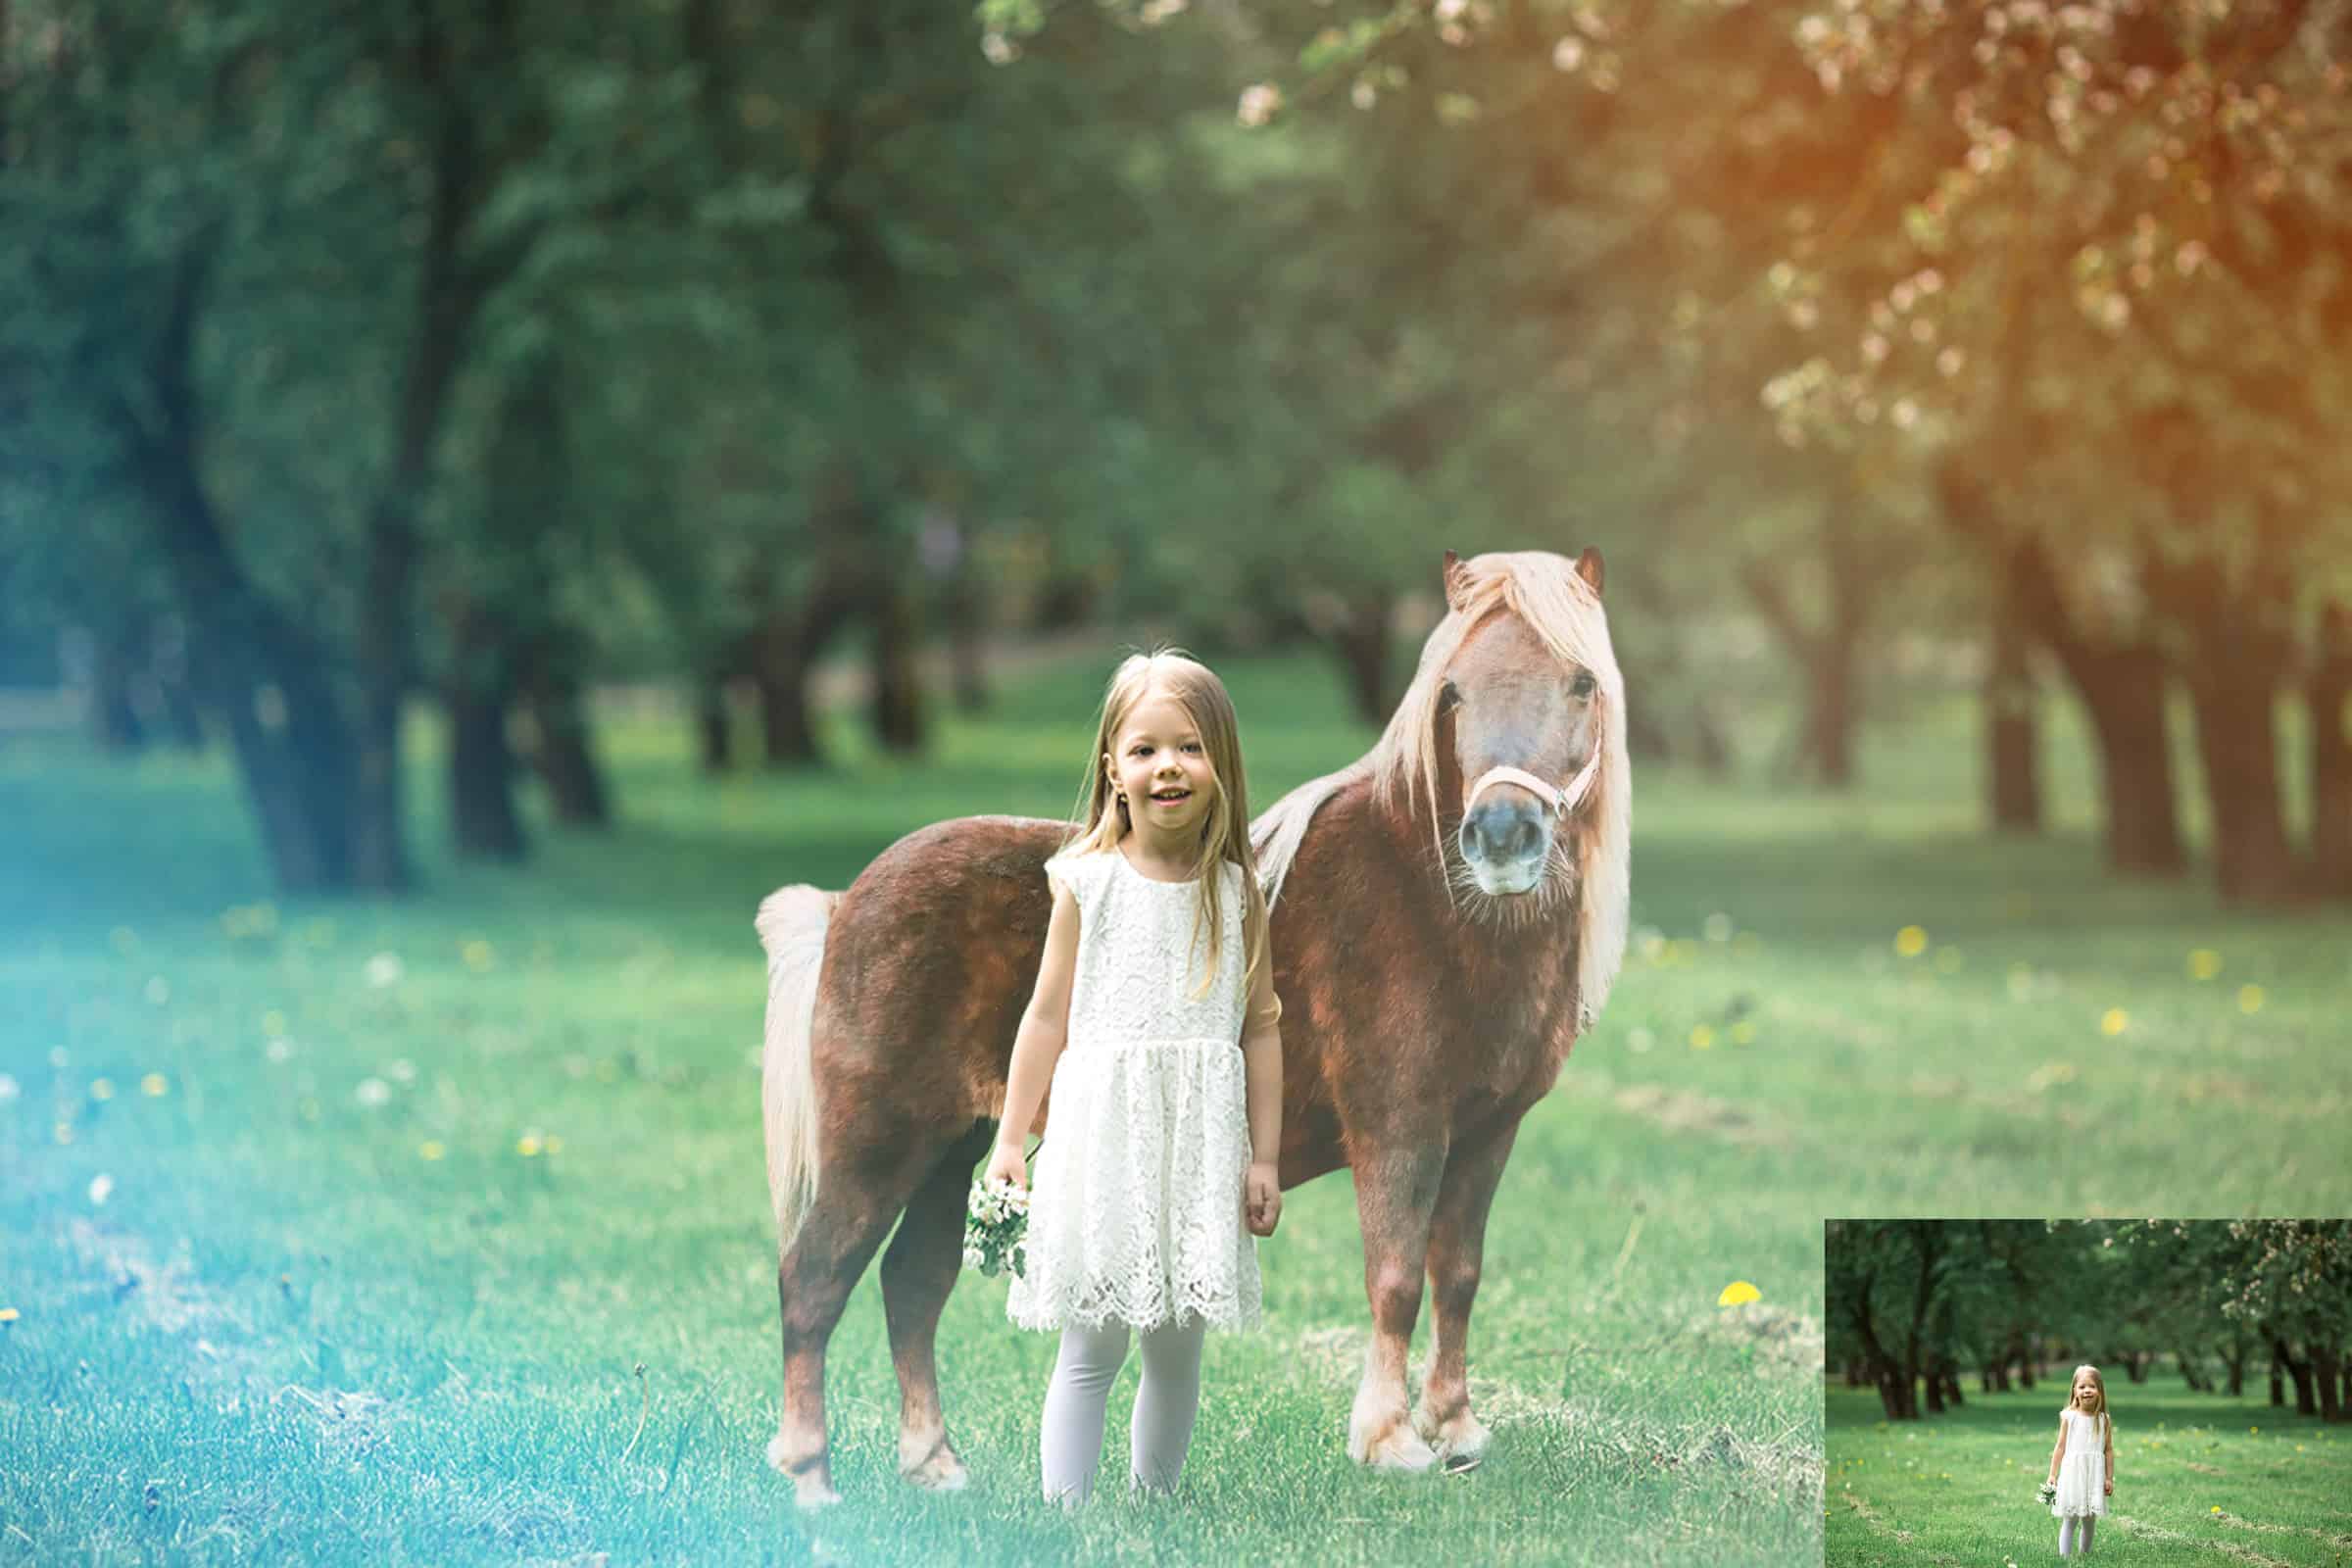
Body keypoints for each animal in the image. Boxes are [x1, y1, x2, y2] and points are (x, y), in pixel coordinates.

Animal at [755, 546, 1630, 1507]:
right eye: (1453, 693)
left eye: (1582, 683)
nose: (1503, 836)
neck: (1436, 906)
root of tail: (847, 902)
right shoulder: (1400, 1129)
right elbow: (1397, 1277)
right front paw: (1391, 1441)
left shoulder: (1486, 1134)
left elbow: (1459, 1275)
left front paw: (1457, 1431)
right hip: (876, 1144)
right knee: (814, 1281)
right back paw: (810, 1477)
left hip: (958, 1149)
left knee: (913, 1284)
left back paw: (933, 1463)